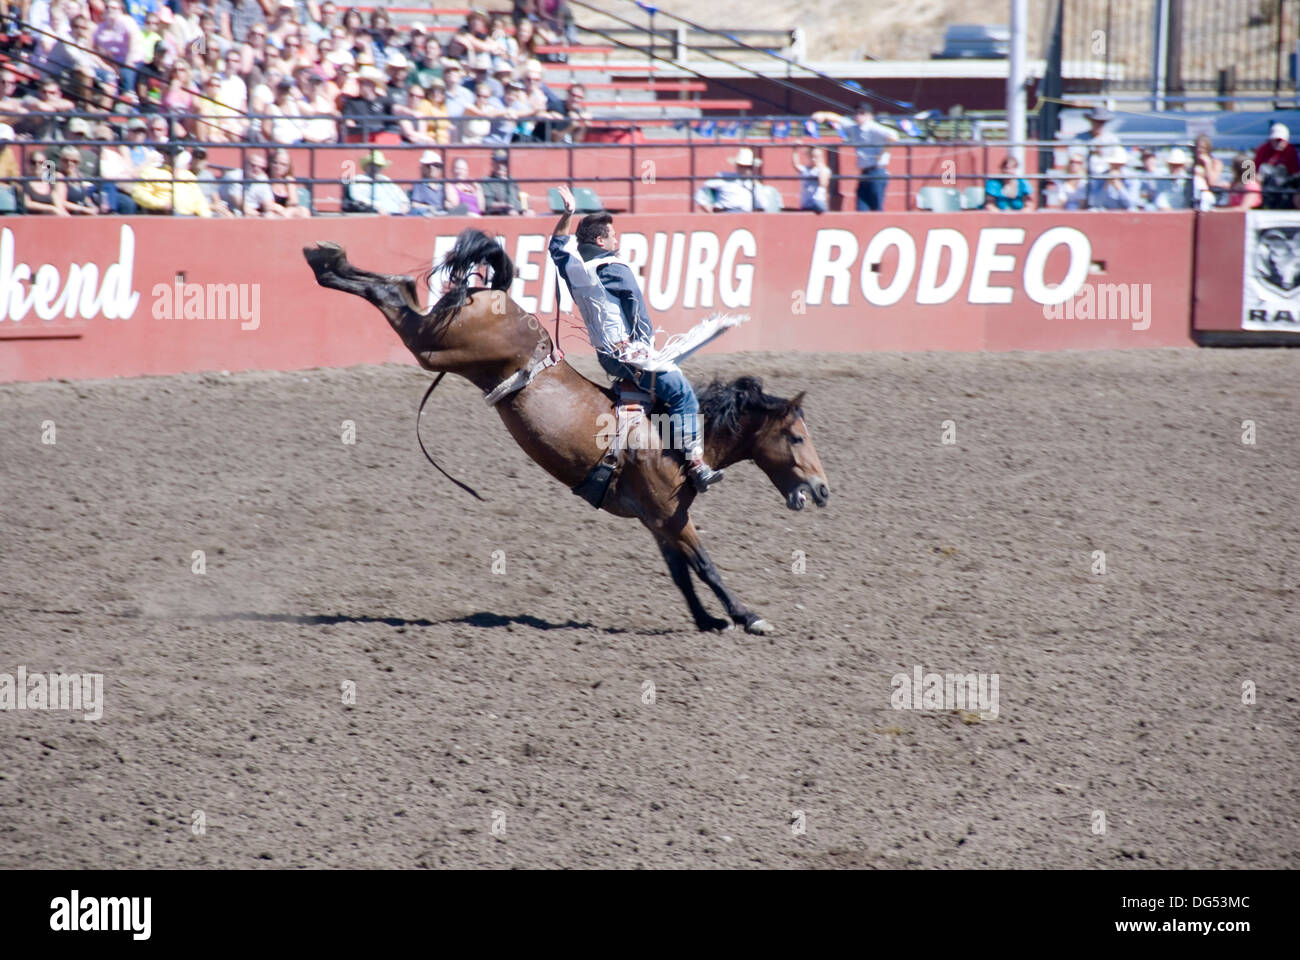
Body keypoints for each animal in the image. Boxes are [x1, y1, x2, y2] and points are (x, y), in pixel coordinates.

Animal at [302, 229, 830, 634]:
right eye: (797, 438)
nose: (823, 489)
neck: (673, 440)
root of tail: (498, 294)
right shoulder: (672, 517)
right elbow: (706, 566)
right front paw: (748, 617)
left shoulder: (658, 521)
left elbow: (681, 573)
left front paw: (707, 620)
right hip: (433, 346)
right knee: (395, 300)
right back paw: (326, 263)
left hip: (437, 342)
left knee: (398, 288)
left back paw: (326, 261)